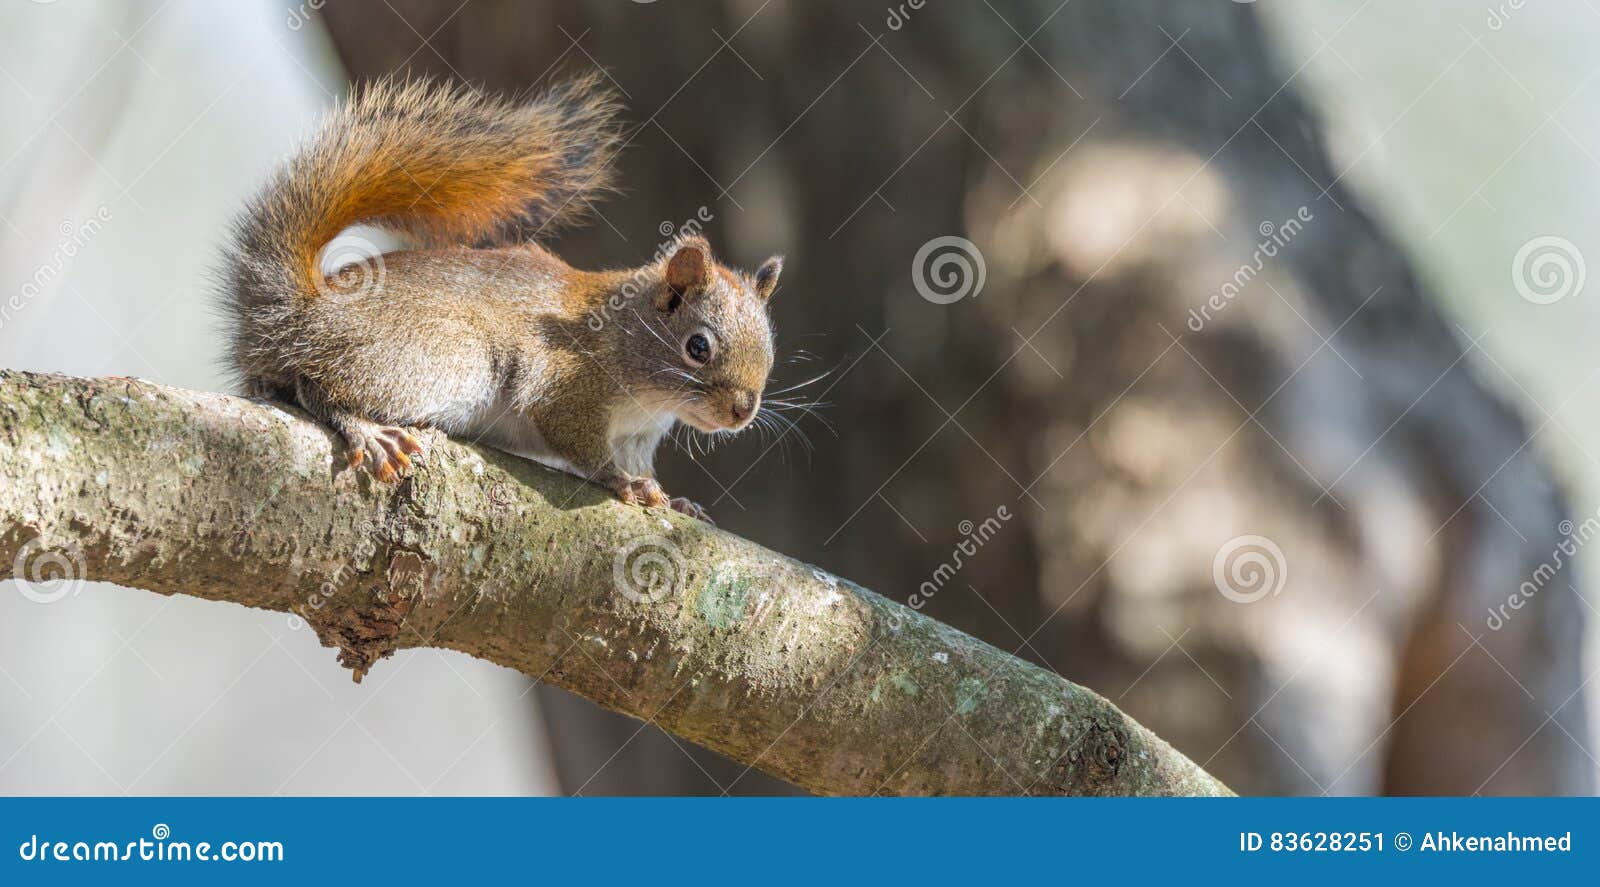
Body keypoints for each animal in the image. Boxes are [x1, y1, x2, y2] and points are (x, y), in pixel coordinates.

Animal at [219, 77, 782, 522]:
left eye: (771, 353)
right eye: (698, 347)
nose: (741, 412)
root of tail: (300, 313)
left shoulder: (638, 438)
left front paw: (678, 501)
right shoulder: (568, 387)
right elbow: (580, 442)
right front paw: (622, 482)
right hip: (435, 354)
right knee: (312, 382)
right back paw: (365, 428)